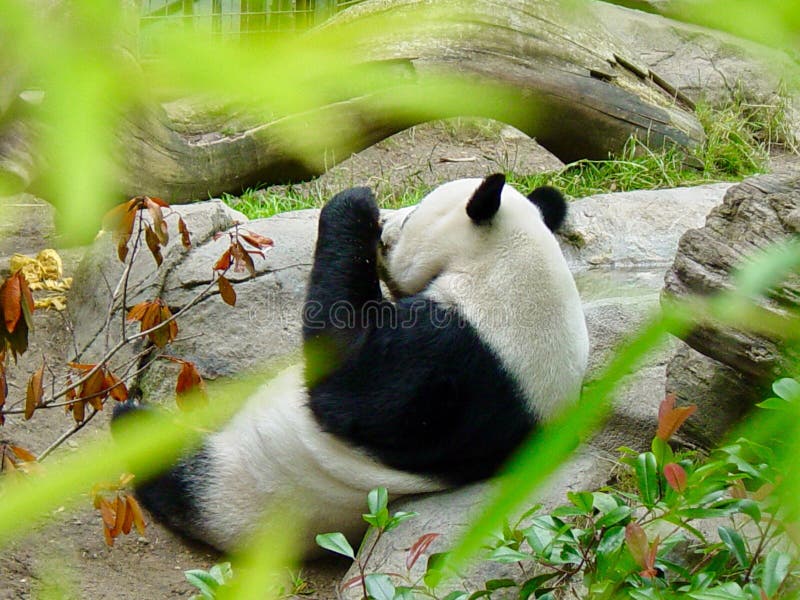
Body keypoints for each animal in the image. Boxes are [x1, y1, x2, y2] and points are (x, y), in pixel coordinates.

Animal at [123, 173, 589, 555]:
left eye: (413, 212)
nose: (387, 227)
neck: (511, 266)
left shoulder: (452, 355)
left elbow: (346, 379)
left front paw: (355, 204)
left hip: (245, 487)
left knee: (176, 473)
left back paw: (130, 418)